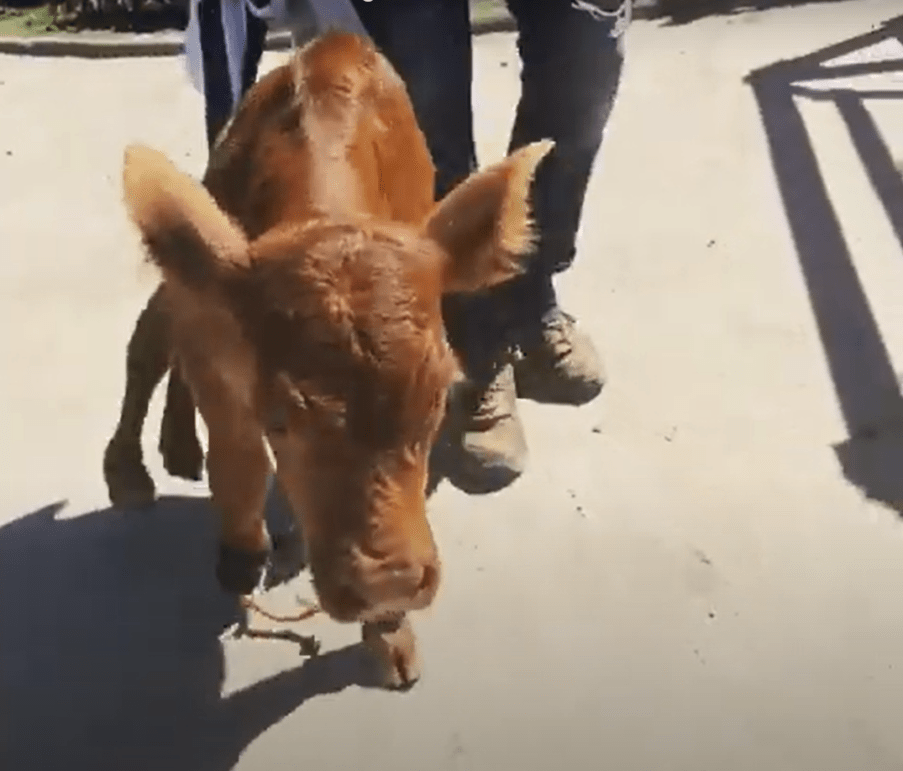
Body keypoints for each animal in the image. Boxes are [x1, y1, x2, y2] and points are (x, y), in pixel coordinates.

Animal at [111, 30, 552, 688]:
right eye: (279, 418)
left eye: (439, 401)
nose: (385, 583)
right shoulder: (221, 343)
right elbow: (237, 461)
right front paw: (241, 556)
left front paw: (389, 630)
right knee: (149, 338)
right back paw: (131, 470)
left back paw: (179, 447)